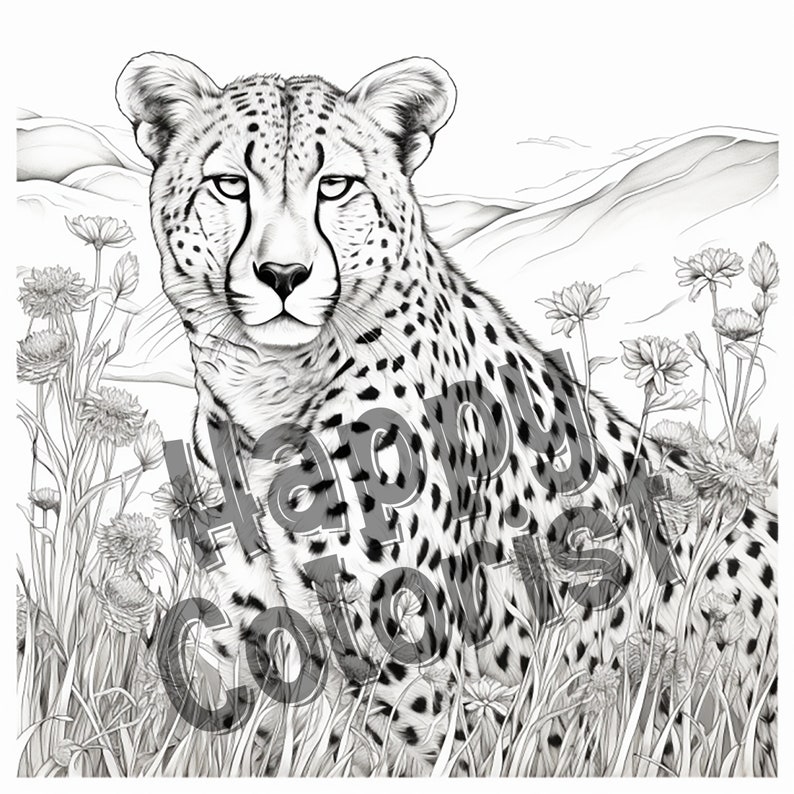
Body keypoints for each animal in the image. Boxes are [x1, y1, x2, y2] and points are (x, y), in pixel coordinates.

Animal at [116, 52, 777, 776]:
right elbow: (264, 739)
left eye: (335, 186)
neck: (270, 387)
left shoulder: (404, 656)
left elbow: (404, 751)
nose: (283, 274)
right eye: (231, 185)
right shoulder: (259, 625)